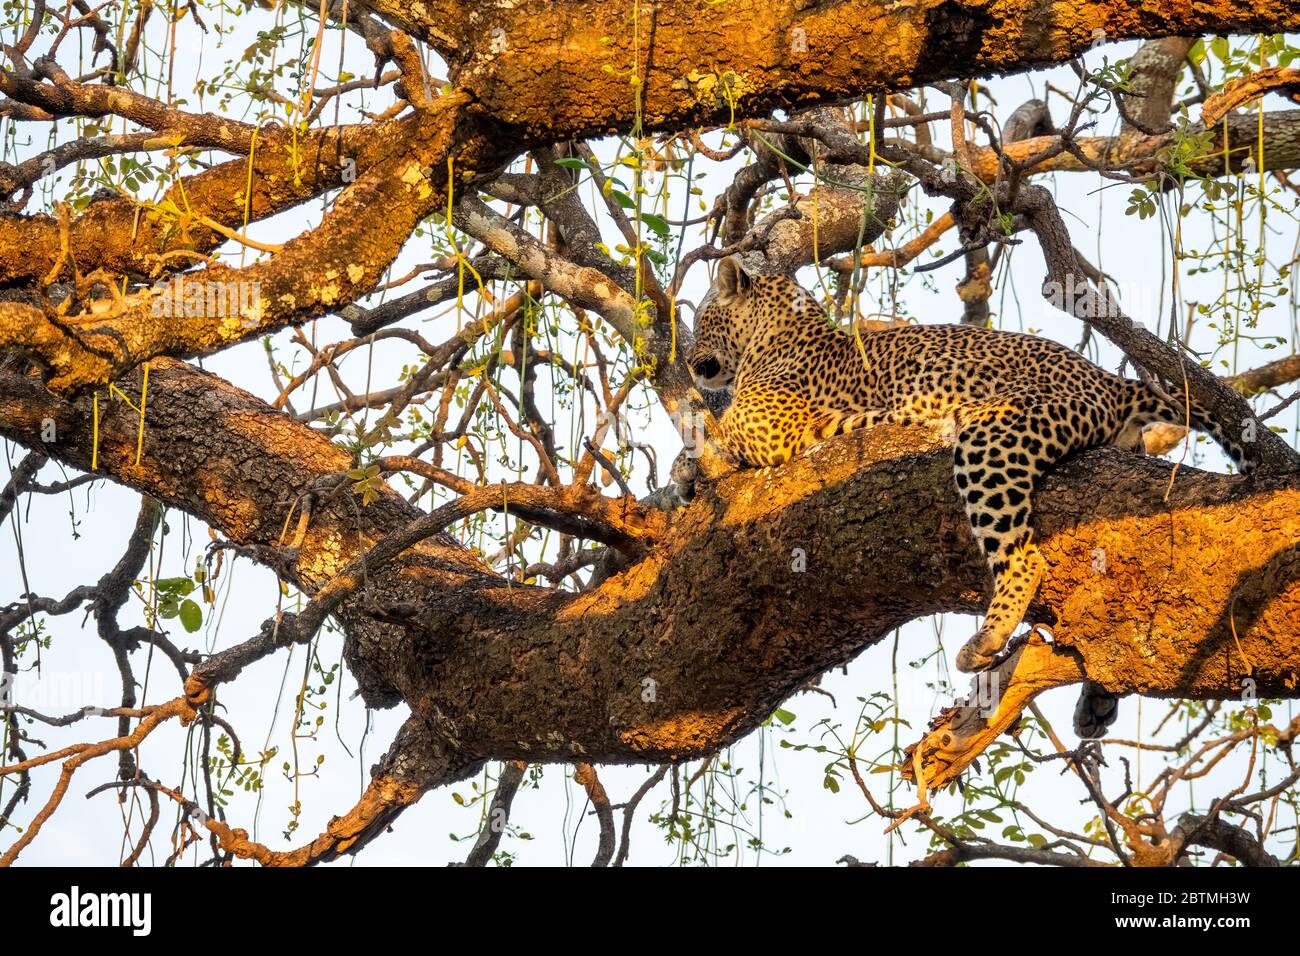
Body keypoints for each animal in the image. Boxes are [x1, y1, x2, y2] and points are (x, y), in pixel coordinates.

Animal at [686, 256, 1251, 675]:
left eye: (700, 319)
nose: (690, 361)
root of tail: (1109, 381)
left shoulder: (774, 427)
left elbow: (716, 430)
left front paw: (689, 463)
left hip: (992, 437)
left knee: (1023, 557)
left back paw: (987, 638)